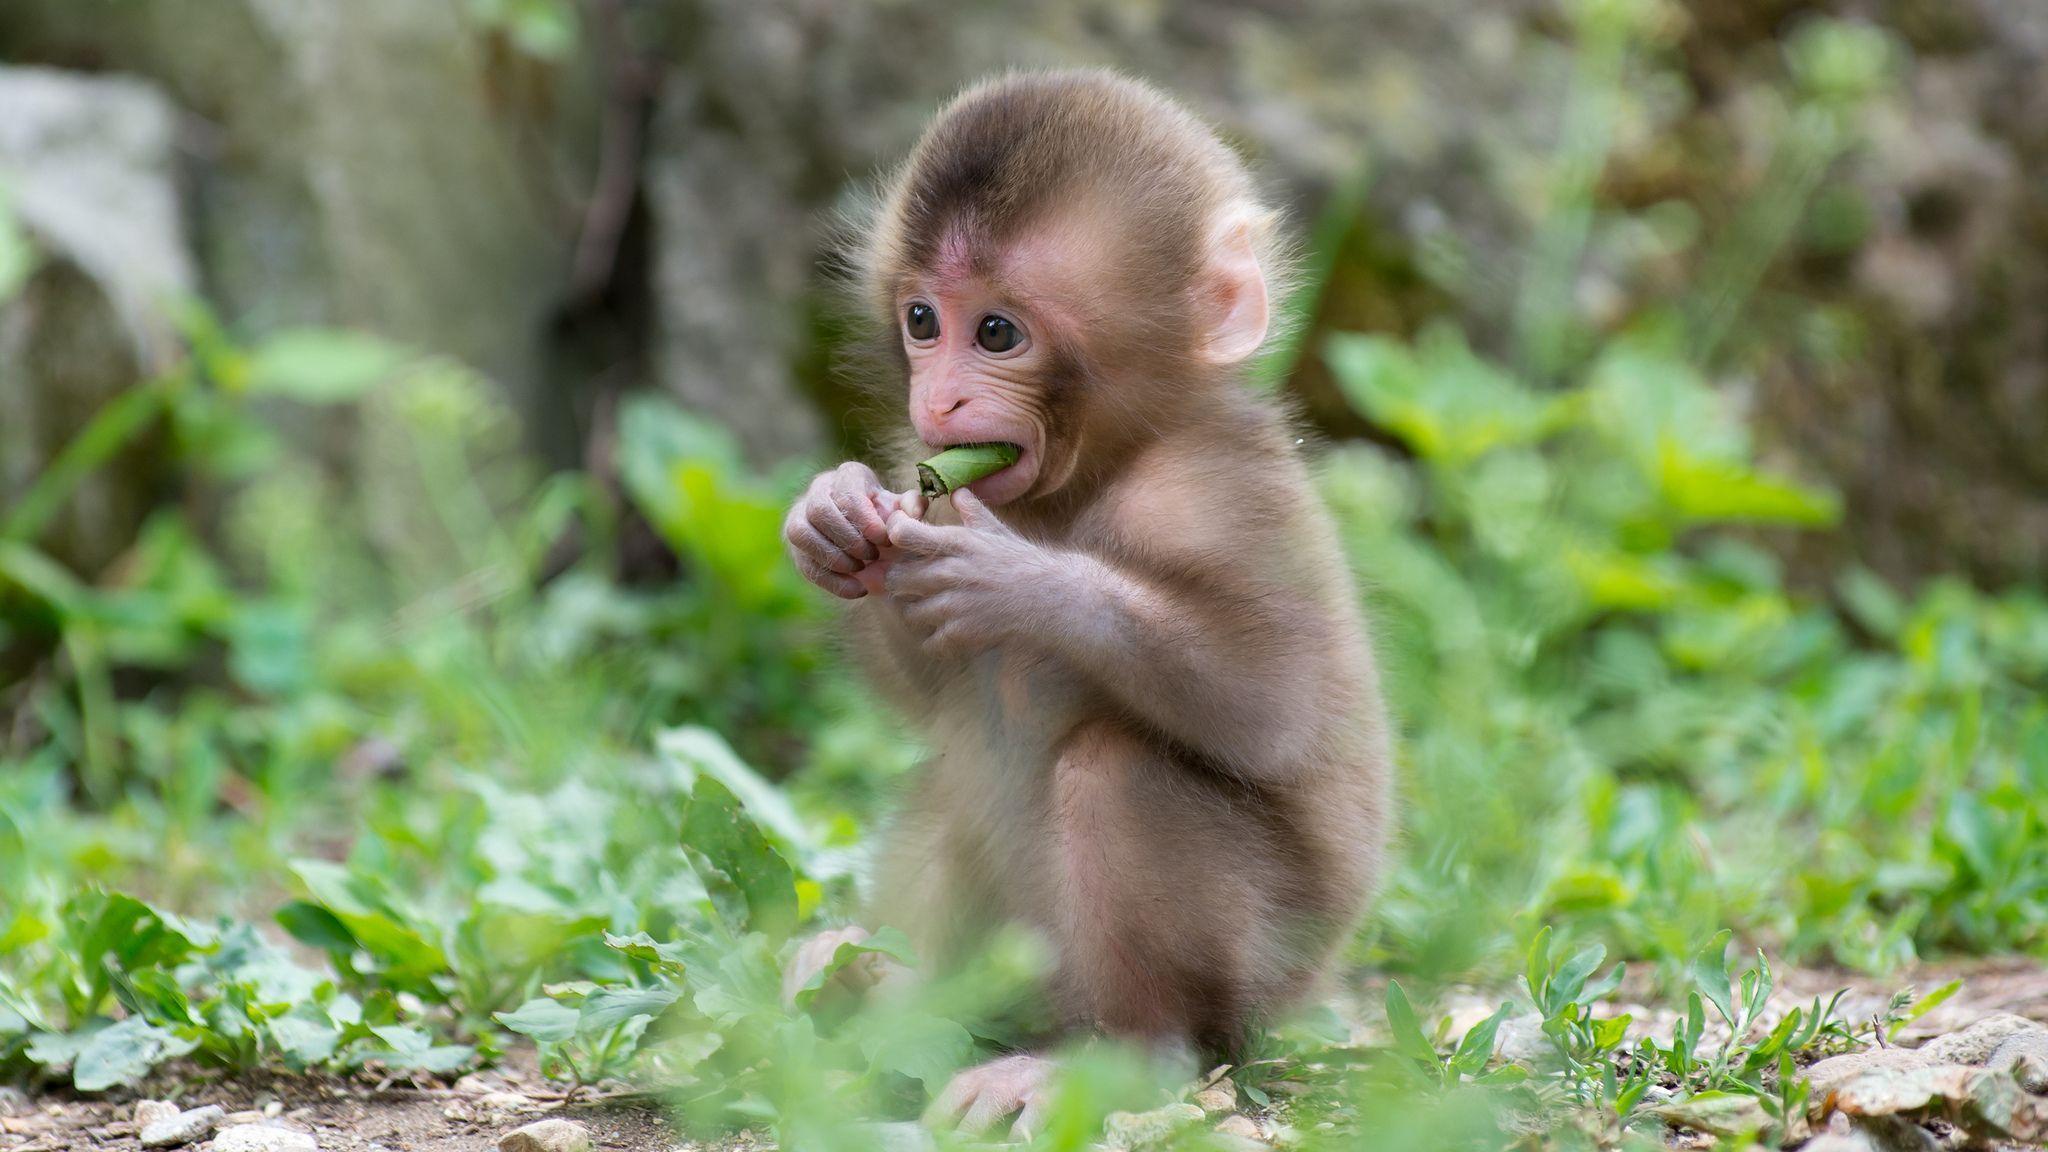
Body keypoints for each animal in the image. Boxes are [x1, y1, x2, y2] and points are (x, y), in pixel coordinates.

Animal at [779, 69, 1393, 1139]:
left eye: (997, 332)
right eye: (922, 321)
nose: (938, 403)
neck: (1102, 464)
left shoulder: (1218, 488)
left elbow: (1274, 699)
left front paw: (1022, 581)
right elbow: (927, 681)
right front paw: (837, 516)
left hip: (1263, 976)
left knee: (1116, 770)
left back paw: (1119, 1059)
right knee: (957, 772)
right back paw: (882, 990)